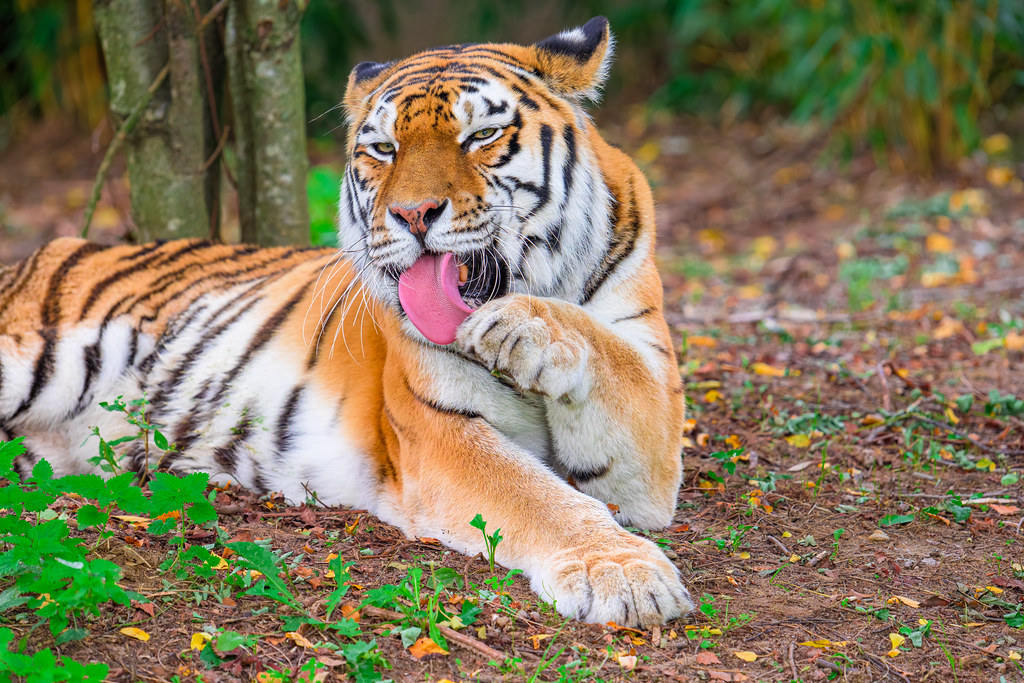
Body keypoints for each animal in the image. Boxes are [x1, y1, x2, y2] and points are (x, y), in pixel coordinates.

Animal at [0, 17, 692, 627]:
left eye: (479, 137)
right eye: (383, 149)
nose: (413, 214)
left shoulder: (651, 441)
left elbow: (614, 363)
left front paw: (525, 329)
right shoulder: (439, 432)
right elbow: (541, 498)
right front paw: (623, 574)